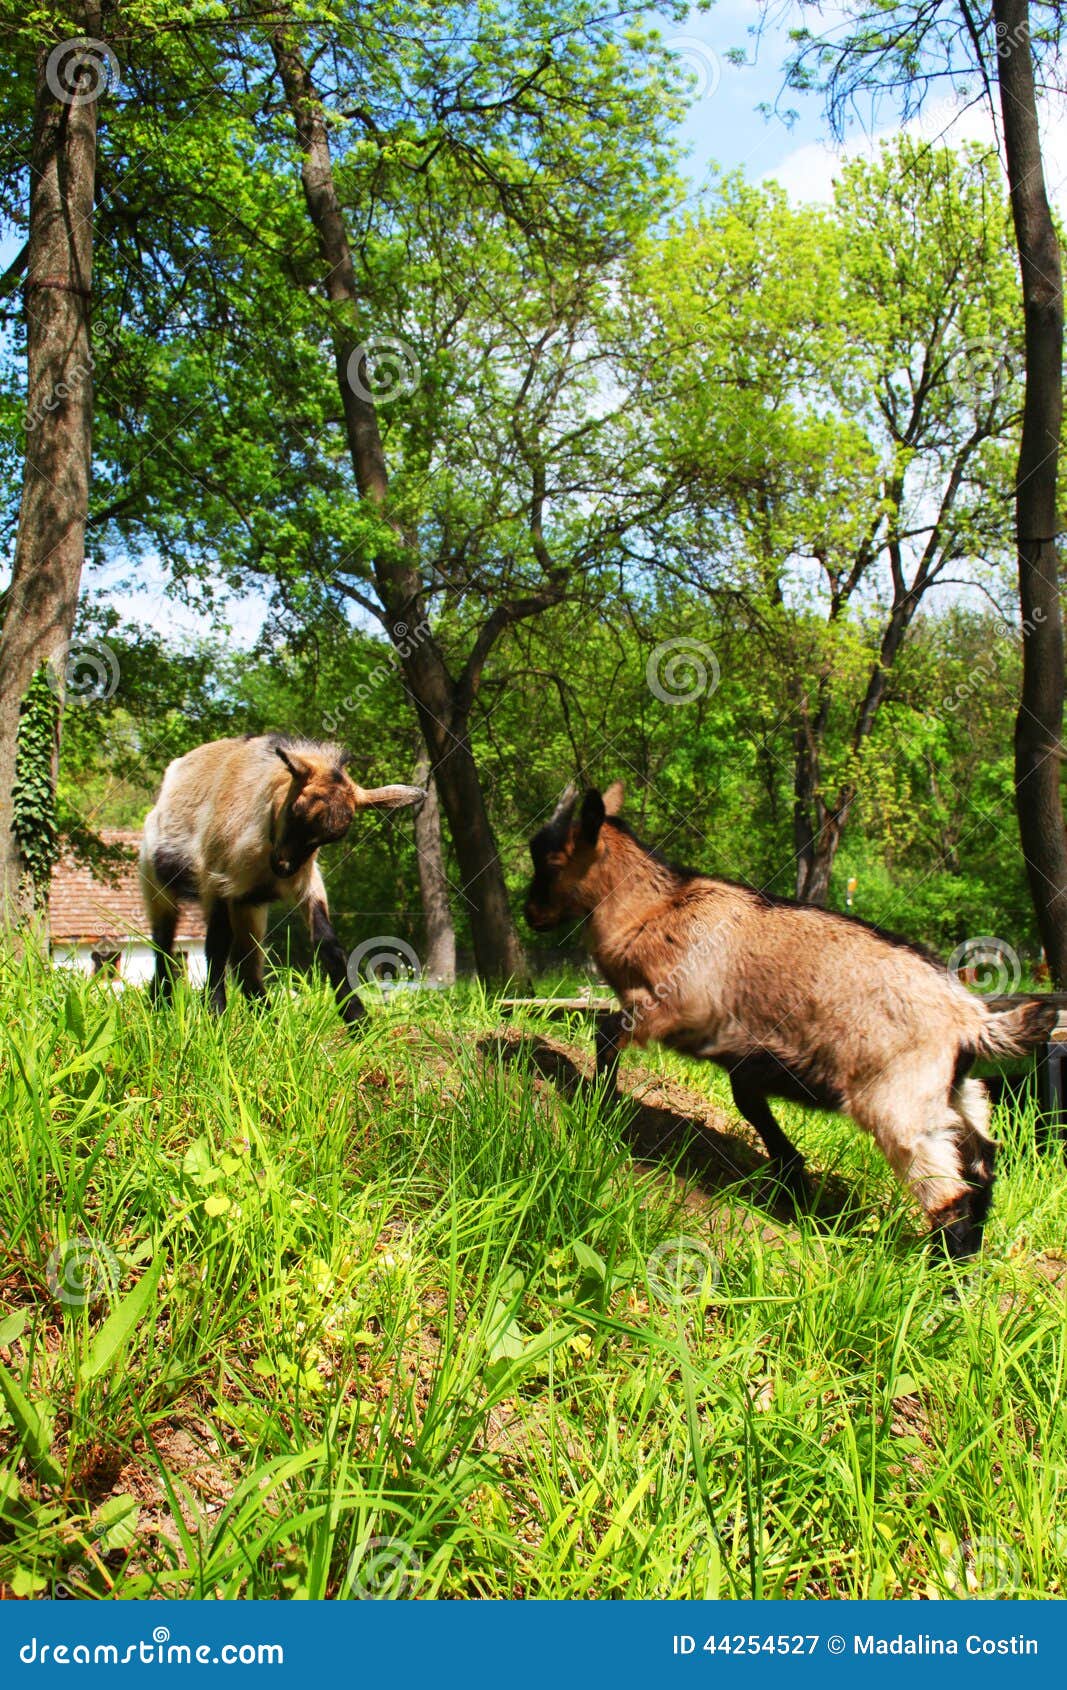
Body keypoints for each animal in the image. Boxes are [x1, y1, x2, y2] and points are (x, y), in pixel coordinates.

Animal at [140, 735, 422, 1025]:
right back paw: (160, 1005)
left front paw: (358, 1020)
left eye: (332, 837)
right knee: (163, 944)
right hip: (157, 883)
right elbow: (216, 945)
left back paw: (268, 1021)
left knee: (246, 965)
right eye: (295, 808)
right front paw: (215, 1015)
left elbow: (328, 943)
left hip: (248, 908)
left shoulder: (306, 881)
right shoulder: (215, 881)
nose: (284, 866)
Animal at [525, 782, 1056, 1260]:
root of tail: (969, 1021)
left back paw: (943, 1285)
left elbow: (605, 1033)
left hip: (900, 1108)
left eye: (548, 862)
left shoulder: (669, 1009)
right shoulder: (749, 1053)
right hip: (956, 1095)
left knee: (951, 1198)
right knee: (983, 1163)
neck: (653, 910)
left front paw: (601, 1098)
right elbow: (748, 1102)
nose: (530, 914)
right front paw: (791, 1173)